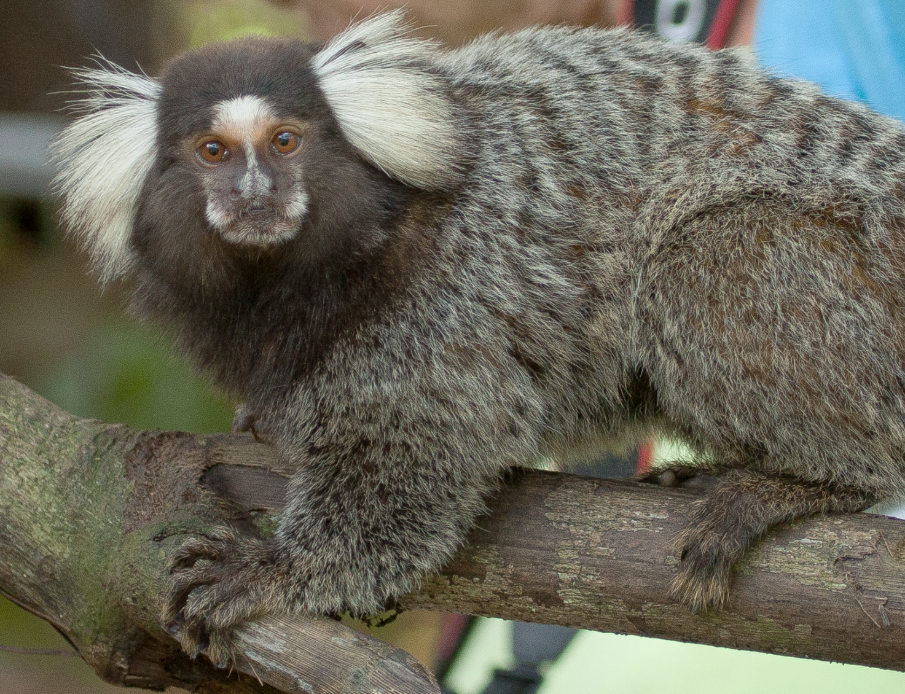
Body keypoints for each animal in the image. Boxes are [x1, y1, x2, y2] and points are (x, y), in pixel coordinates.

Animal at [53, 10, 905, 664]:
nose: (255, 193)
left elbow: (416, 465)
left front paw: (278, 570)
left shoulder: (443, 301)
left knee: (704, 252)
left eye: (285, 142)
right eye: (213, 152)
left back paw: (810, 481)